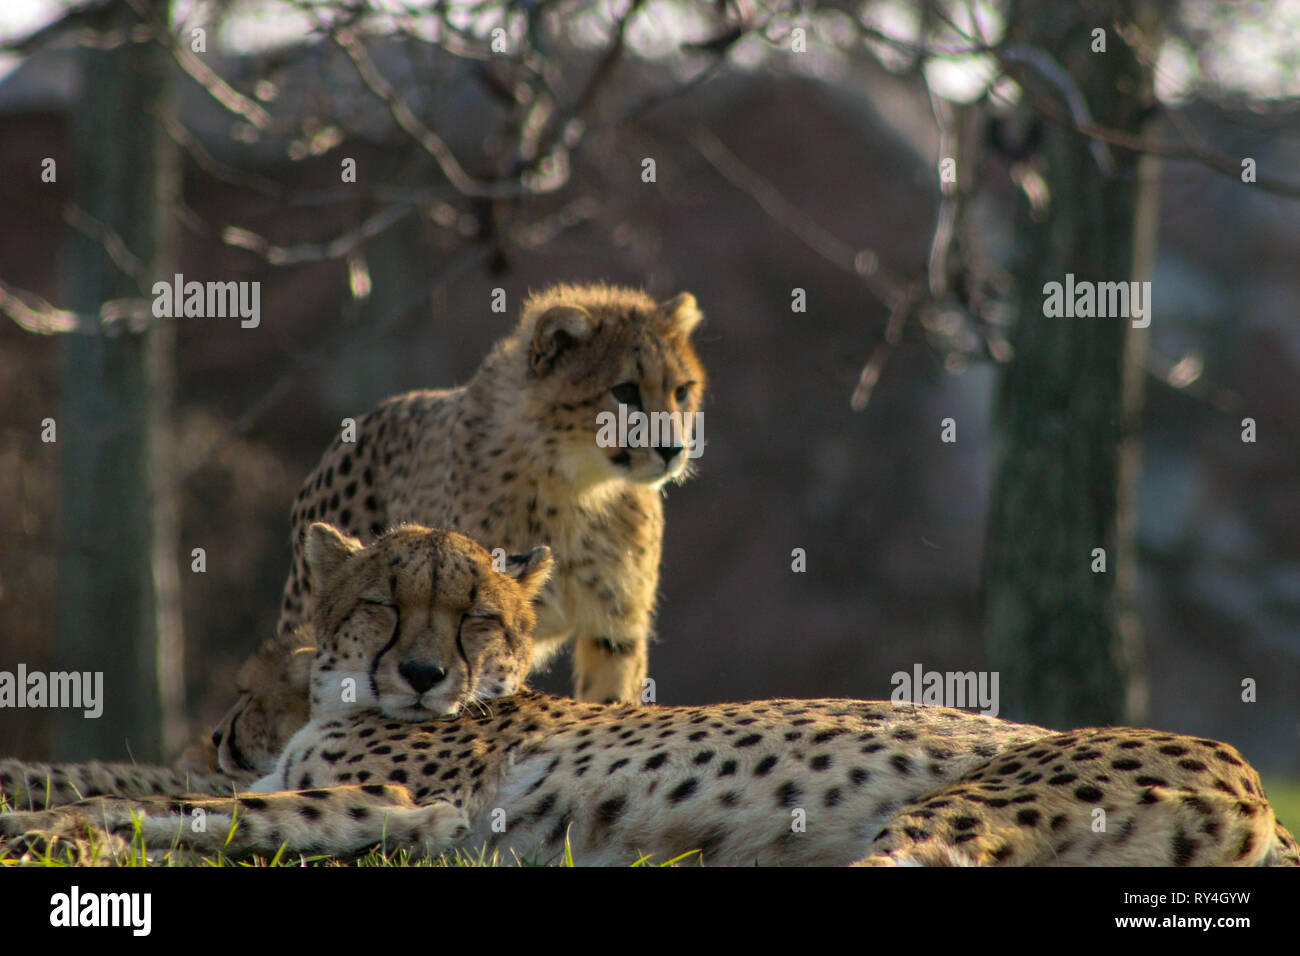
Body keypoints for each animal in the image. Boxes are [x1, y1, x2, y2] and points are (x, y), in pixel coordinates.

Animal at [5, 523, 1293, 866]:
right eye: (382, 599)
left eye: (475, 616)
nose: (420, 672)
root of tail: (1253, 785)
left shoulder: (406, 808)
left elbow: (180, 807)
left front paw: (45, 824)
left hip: (955, 810)